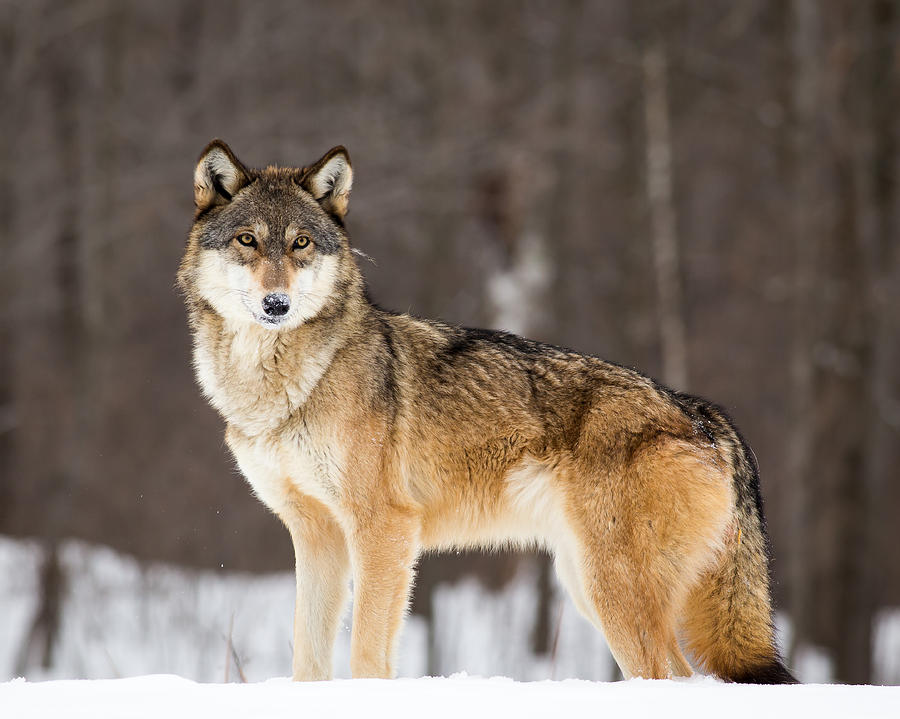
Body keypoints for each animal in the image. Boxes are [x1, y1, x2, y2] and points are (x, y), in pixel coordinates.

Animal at [177, 140, 797, 684]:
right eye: (248, 240)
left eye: (301, 243)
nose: (276, 304)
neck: (287, 386)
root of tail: (703, 414)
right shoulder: (315, 535)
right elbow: (307, 660)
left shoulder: (384, 528)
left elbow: (367, 656)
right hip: (586, 585)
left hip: (610, 593)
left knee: (670, 676)